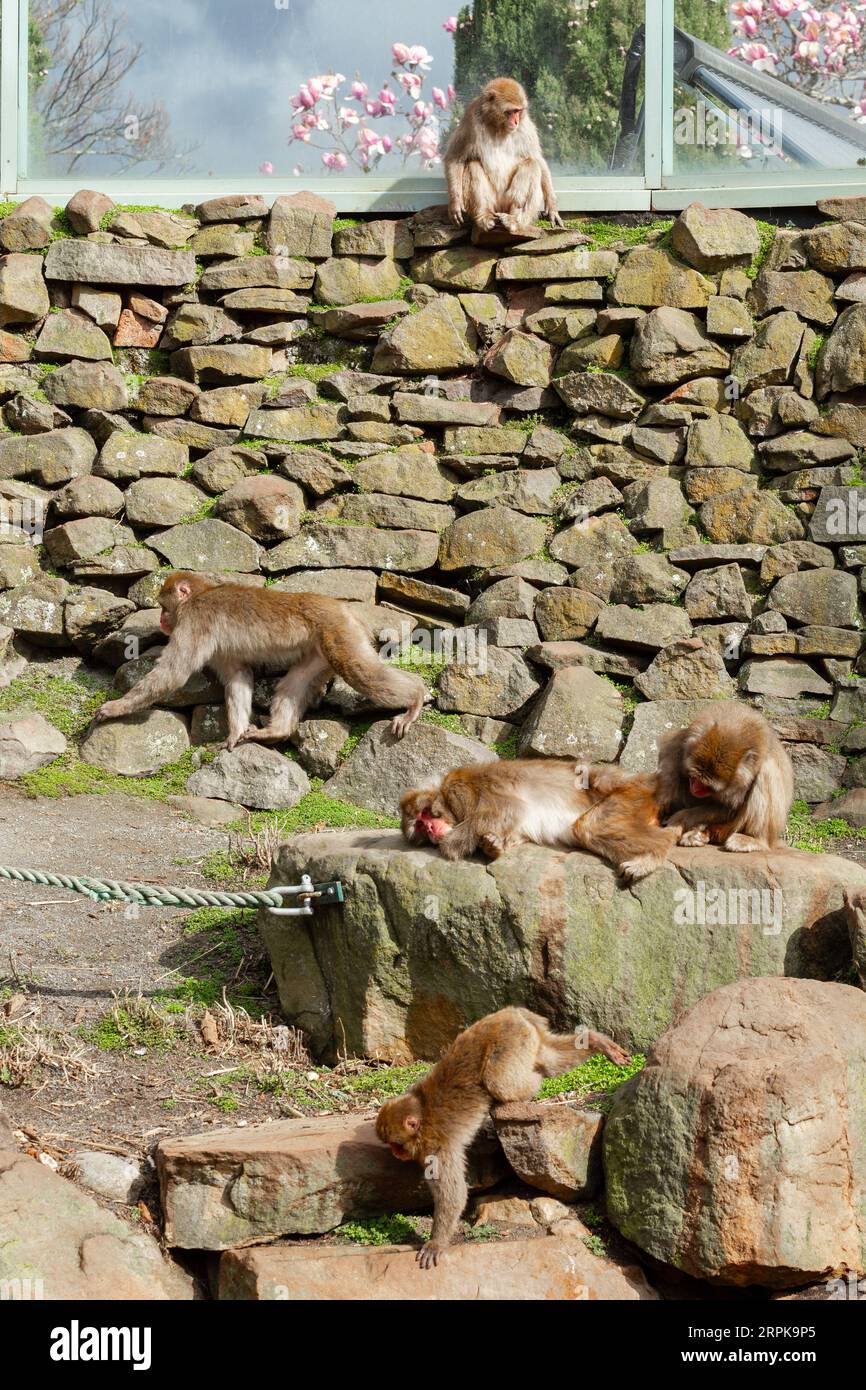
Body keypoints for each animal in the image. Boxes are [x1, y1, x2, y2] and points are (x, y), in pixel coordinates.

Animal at [93, 571, 426, 748]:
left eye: (164, 606)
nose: (162, 620)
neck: (198, 596)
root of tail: (345, 608)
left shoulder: (195, 620)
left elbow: (173, 673)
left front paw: (115, 707)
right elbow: (238, 676)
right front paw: (236, 732)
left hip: (337, 632)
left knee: (359, 671)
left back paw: (416, 697)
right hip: (319, 650)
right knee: (294, 684)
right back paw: (277, 731)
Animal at [375, 1007, 630, 1268]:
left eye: (396, 1144)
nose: (395, 1153)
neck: (423, 1115)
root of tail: (512, 1011)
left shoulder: (438, 1148)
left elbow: (453, 1195)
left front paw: (436, 1243)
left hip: (511, 1043)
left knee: (500, 1082)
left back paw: (530, 1084)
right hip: (524, 1036)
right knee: (548, 1059)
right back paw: (595, 1041)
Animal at [400, 758, 609, 862]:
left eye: (425, 813)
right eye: (419, 826)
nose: (429, 828)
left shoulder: (458, 791)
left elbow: (511, 808)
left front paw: (450, 846)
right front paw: (492, 847)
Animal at [444, 78, 563, 234]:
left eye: (518, 111)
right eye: (511, 112)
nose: (516, 121)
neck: (497, 126)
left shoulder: (526, 127)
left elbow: (538, 160)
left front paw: (552, 206)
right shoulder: (471, 120)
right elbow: (455, 158)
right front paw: (455, 203)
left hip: (507, 200)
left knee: (532, 164)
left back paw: (514, 220)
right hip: (494, 201)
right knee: (472, 164)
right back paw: (484, 216)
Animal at [655, 704, 794, 853]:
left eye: (706, 786)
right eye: (694, 778)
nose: (695, 789)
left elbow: (728, 809)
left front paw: (679, 818)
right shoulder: (681, 742)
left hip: (733, 827)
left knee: (767, 771)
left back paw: (754, 838)